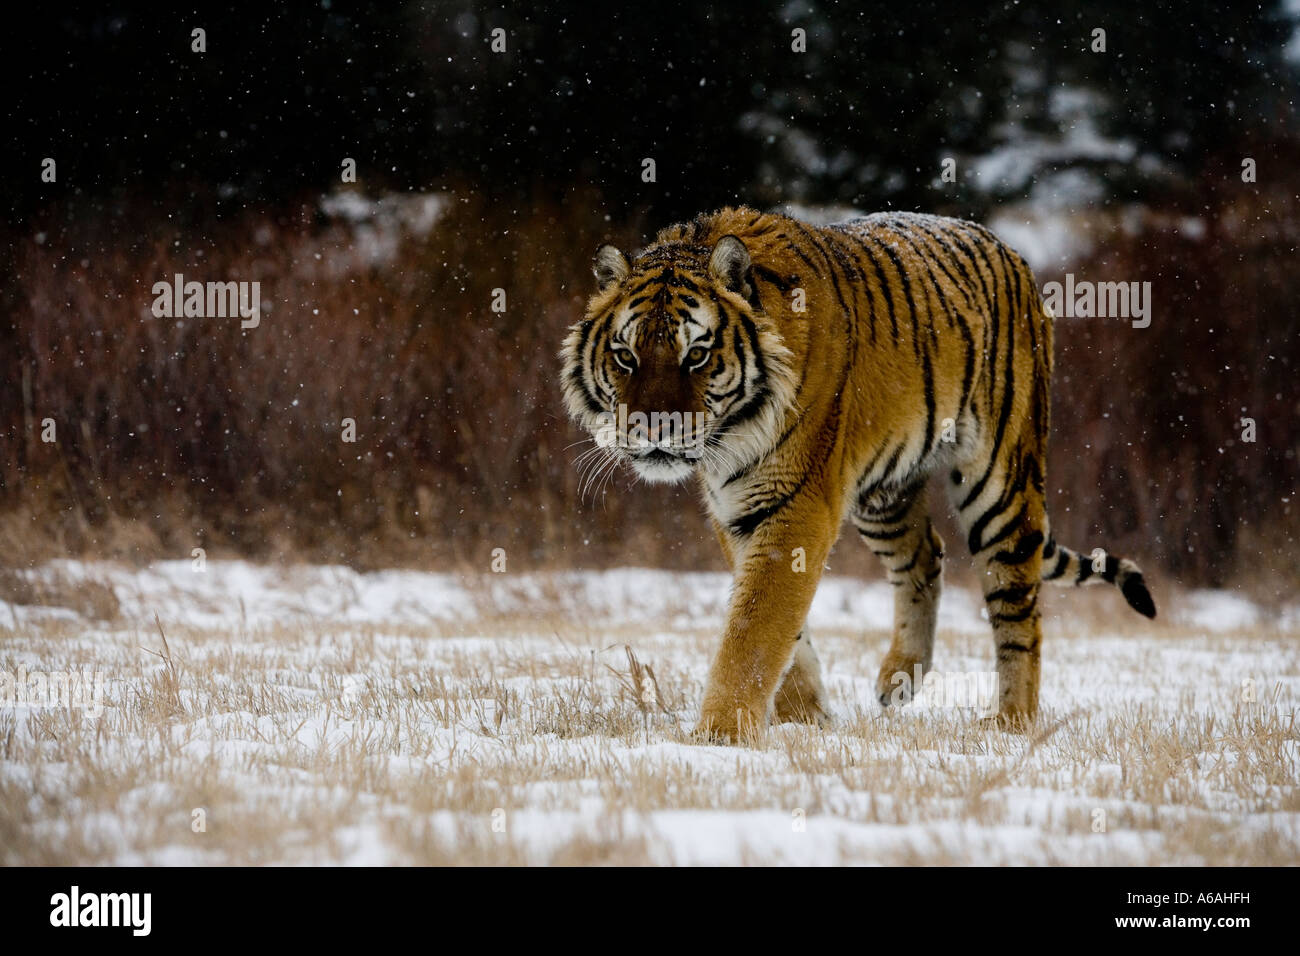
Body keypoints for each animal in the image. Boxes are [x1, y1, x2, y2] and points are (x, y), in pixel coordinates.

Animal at [560, 206, 1156, 742]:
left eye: (698, 355)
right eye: (626, 355)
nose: (652, 427)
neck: (729, 440)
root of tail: (1012, 250)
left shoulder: (794, 505)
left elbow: (754, 630)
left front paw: (719, 736)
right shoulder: (742, 510)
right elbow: (783, 628)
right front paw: (804, 716)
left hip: (1001, 480)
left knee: (1019, 609)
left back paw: (1011, 722)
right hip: (883, 492)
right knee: (926, 553)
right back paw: (900, 677)